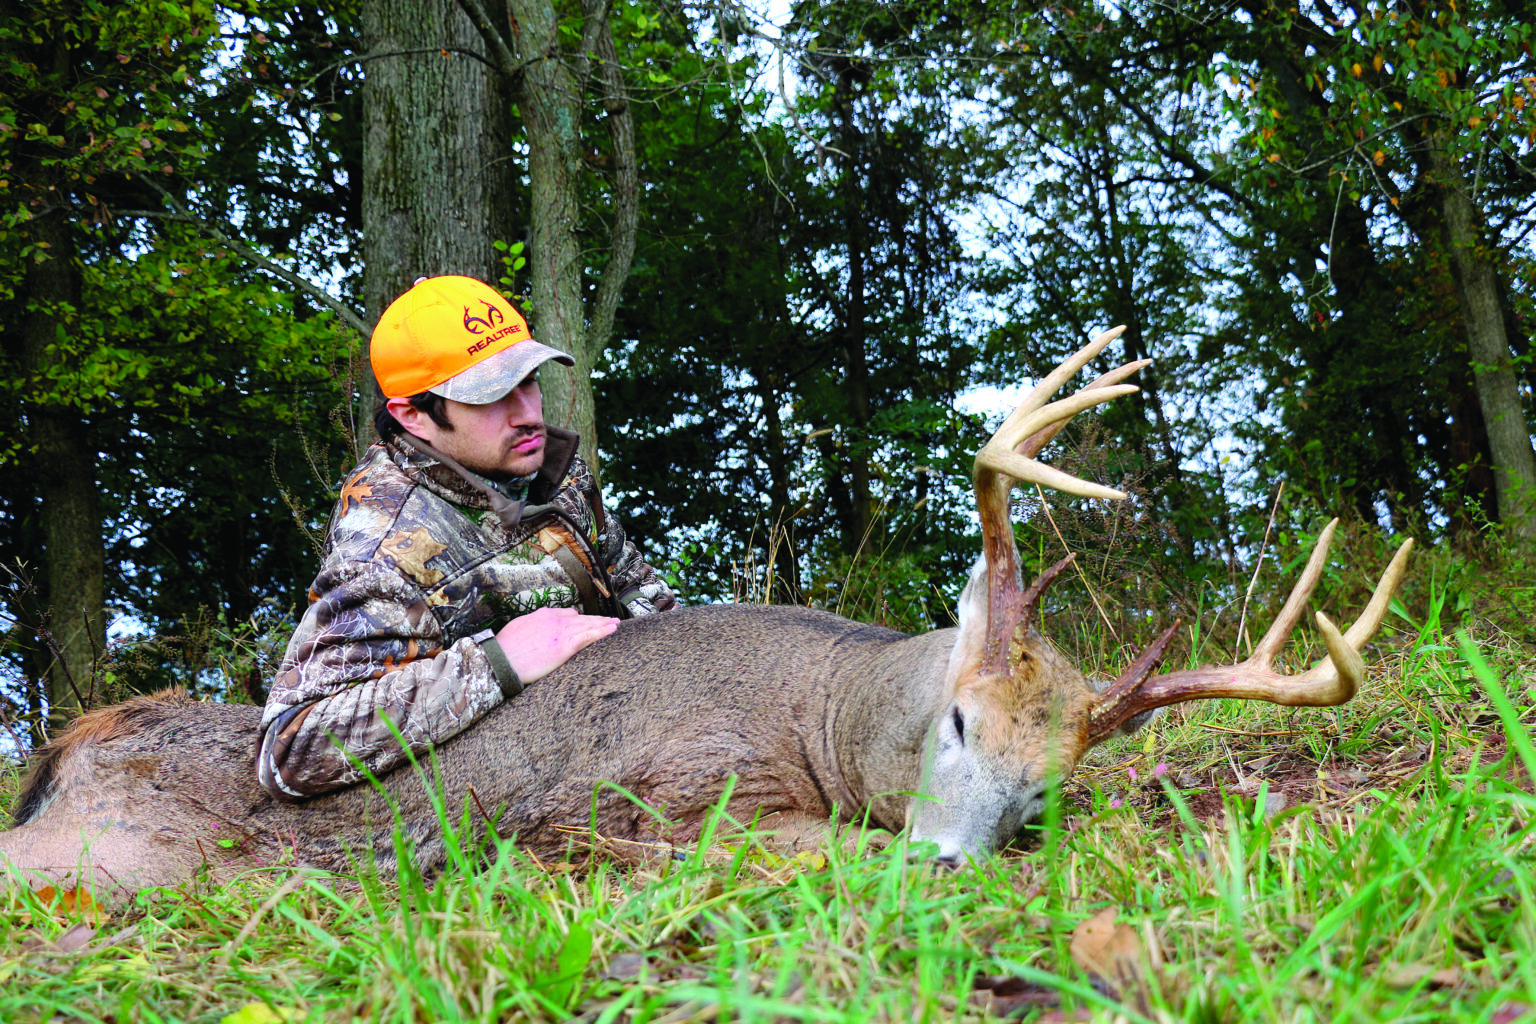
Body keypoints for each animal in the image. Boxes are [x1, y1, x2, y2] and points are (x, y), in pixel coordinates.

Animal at [0, 328, 1412, 898]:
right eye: (957, 721)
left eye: (1046, 796)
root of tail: (65, 746)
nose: (951, 864)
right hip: (105, 857)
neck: (819, 714)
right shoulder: (670, 797)